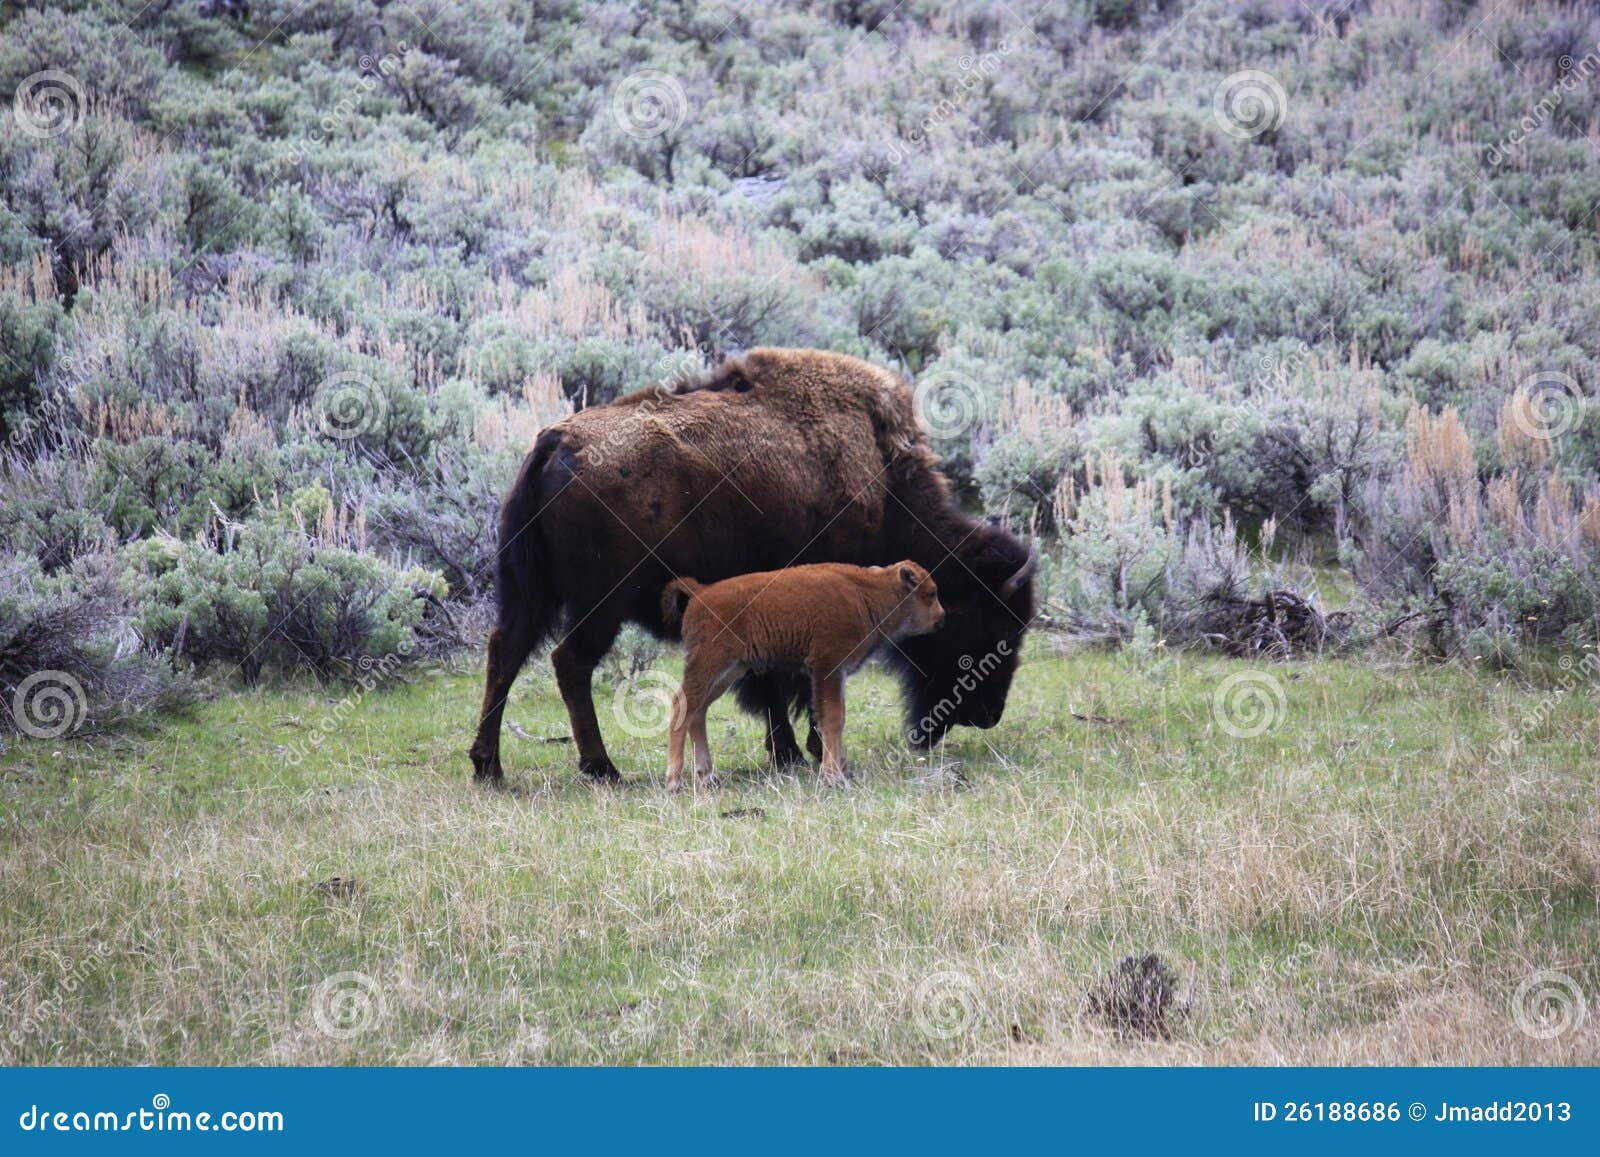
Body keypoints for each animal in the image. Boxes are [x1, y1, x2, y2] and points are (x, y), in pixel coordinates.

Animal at [660, 560, 946, 790]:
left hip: (729, 672)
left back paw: (708, 777)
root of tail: (700, 593)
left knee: (698, 711)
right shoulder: (827, 668)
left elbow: (836, 719)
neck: (868, 591)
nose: (941, 619)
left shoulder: (836, 674)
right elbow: (832, 719)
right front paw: (834, 778)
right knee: (681, 705)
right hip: (708, 665)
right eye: (930, 593)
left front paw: (843, 771)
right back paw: (674, 781)